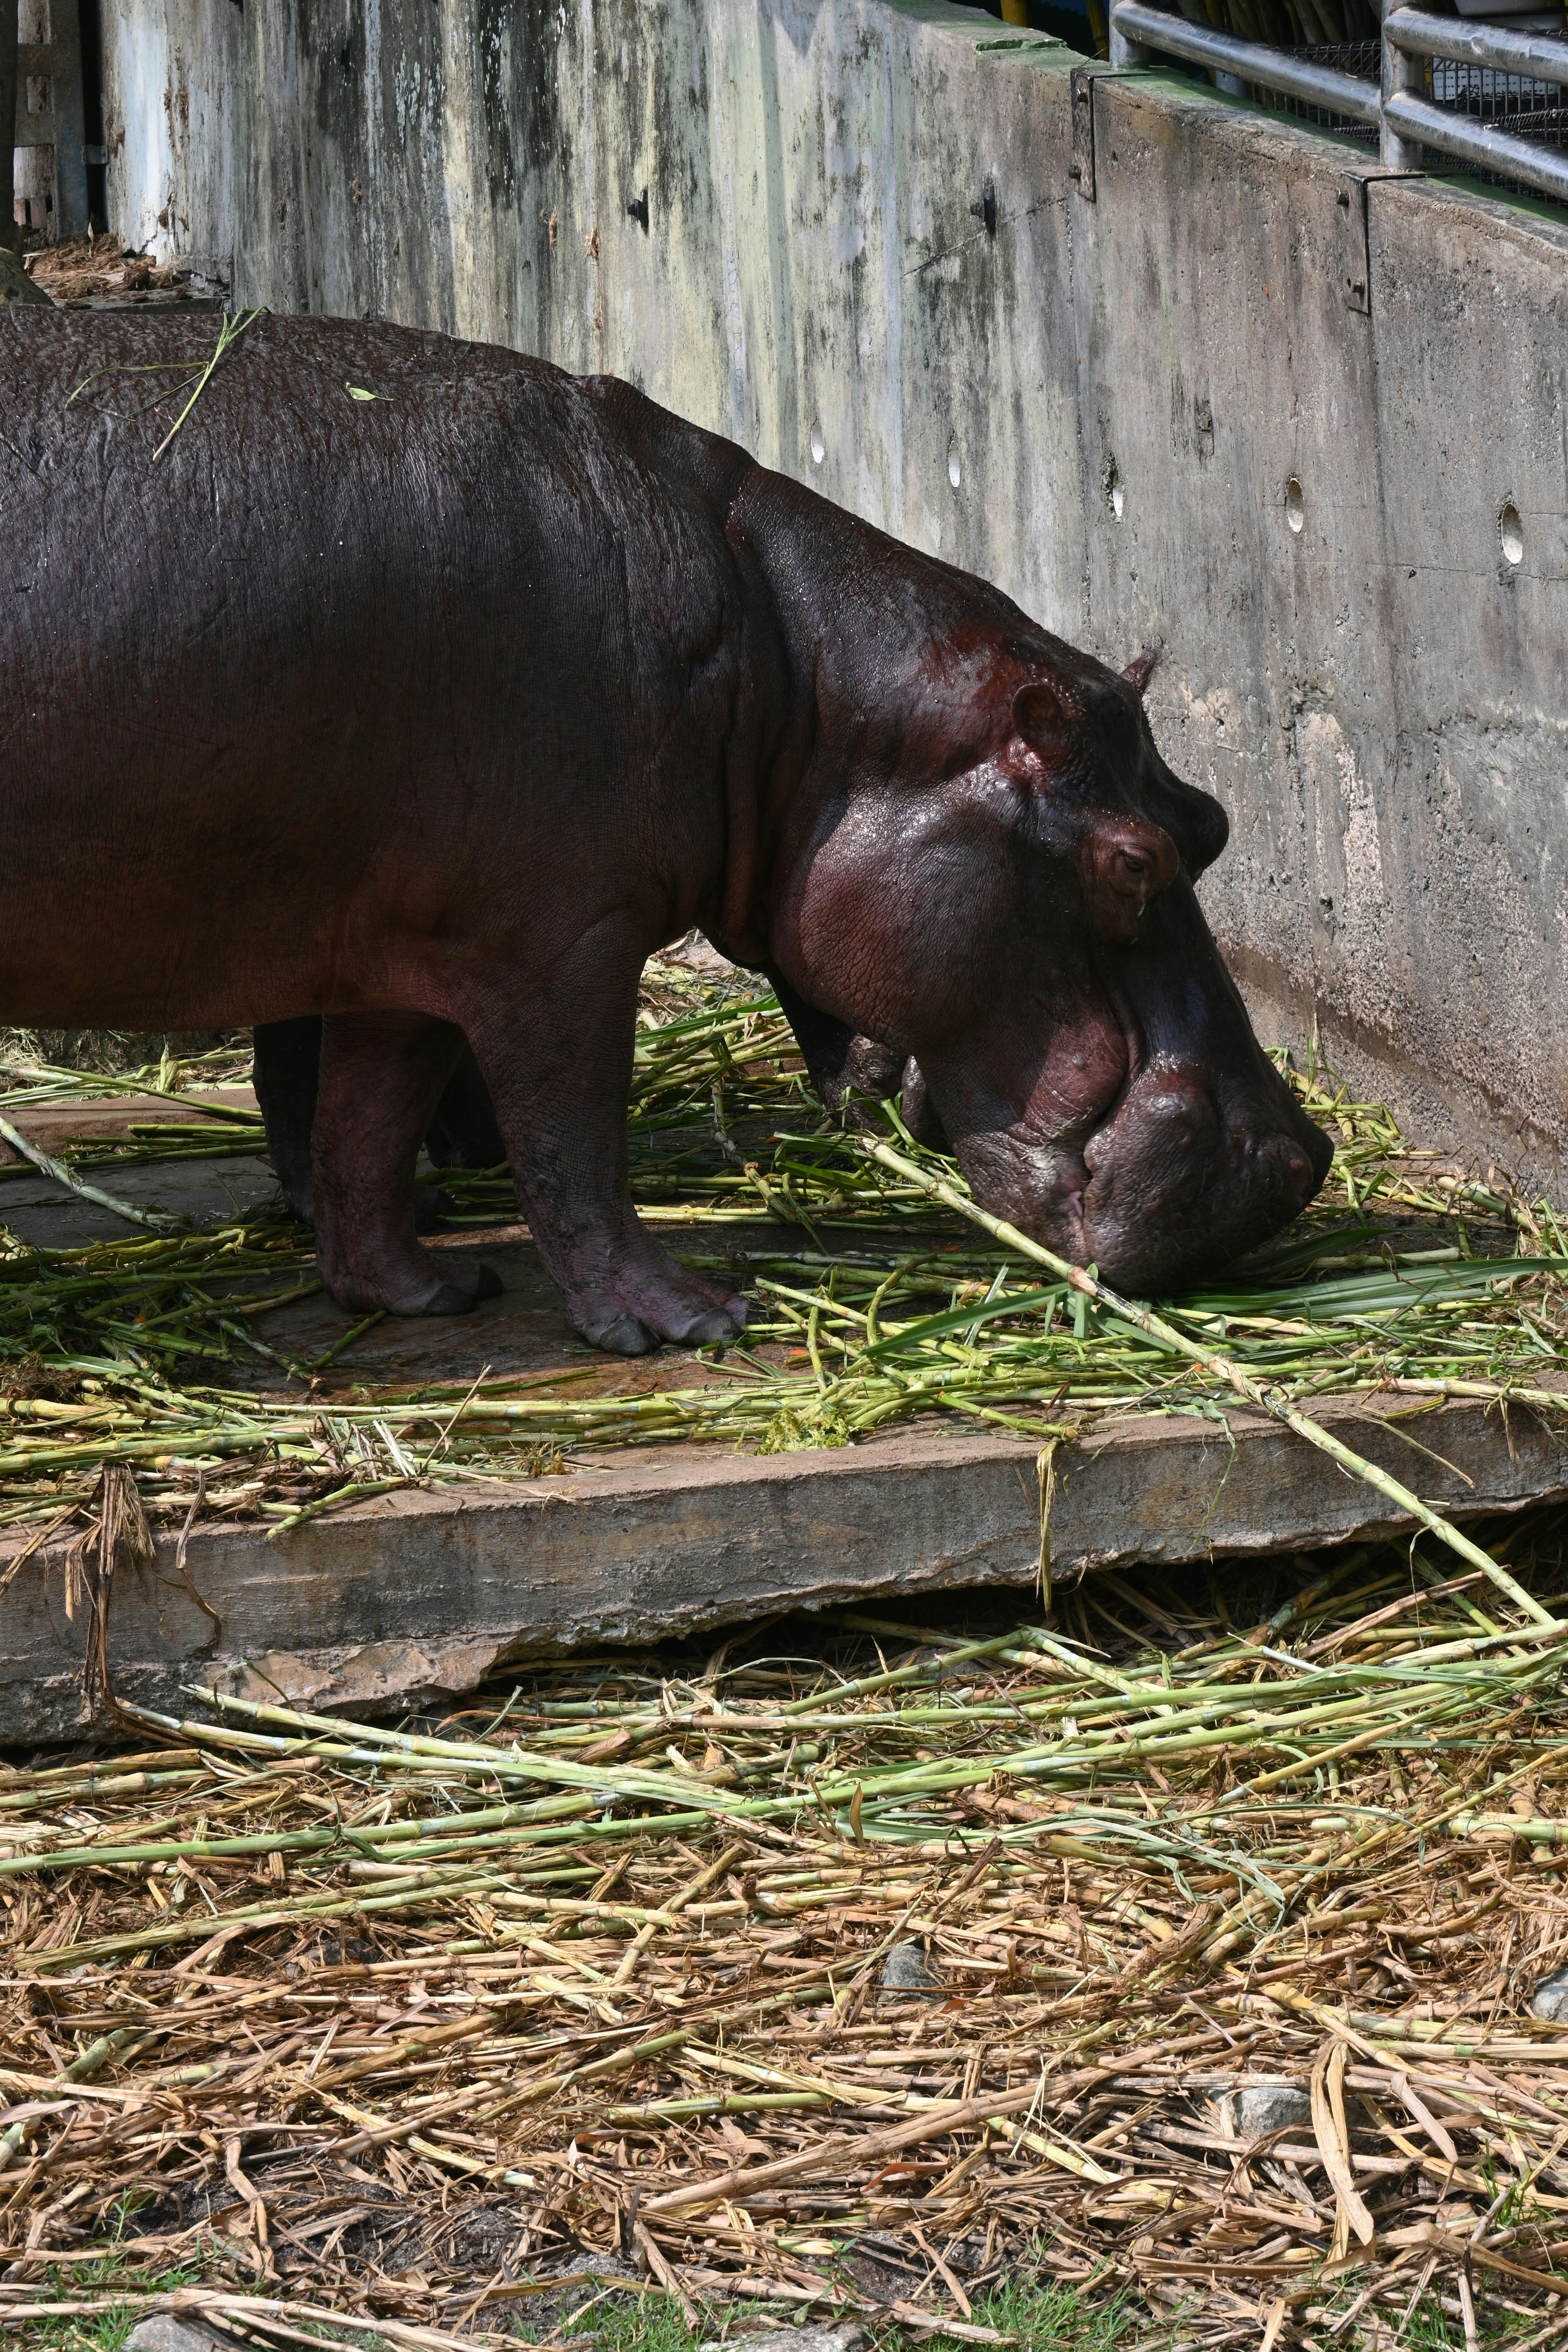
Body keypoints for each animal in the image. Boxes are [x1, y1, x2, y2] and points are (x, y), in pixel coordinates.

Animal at [0, 309, 1330, 1352]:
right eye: (1132, 862)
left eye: (1213, 821)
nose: (1293, 1160)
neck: (801, 691)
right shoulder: (561, 944)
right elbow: (574, 1140)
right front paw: (689, 1318)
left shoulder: (409, 942)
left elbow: (366, 1124)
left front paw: (425, 1292)